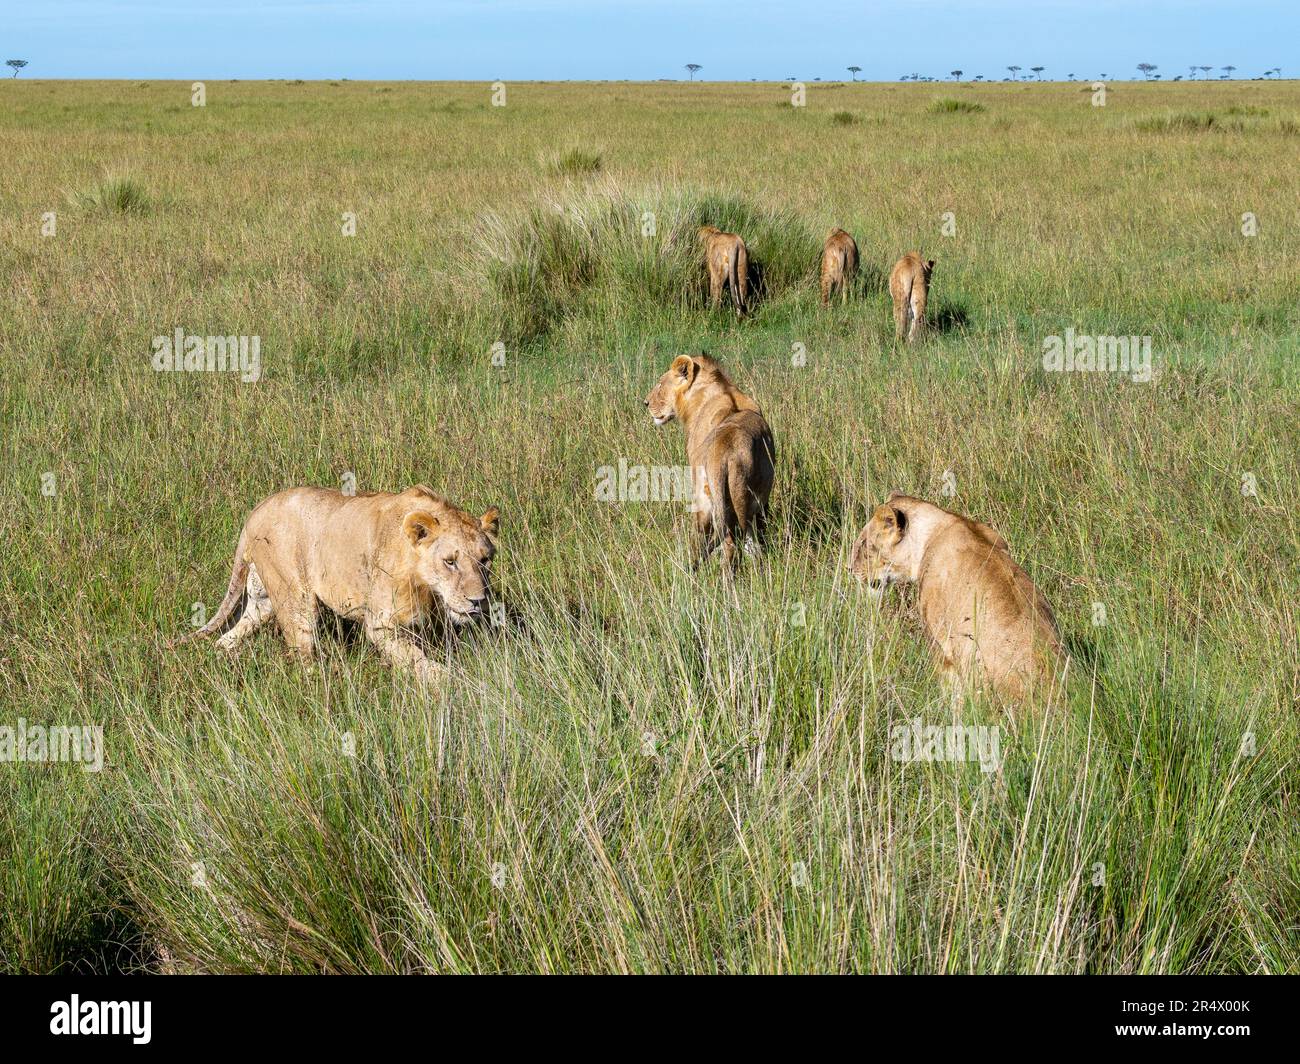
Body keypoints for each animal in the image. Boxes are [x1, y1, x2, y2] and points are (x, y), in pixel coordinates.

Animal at [172, 485, 499, 684]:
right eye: (450, 561)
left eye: (485, 560)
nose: (478, 601)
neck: (426, 585)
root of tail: (256, 511)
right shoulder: (380, 624)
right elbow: (415, 659)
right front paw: (449, 683)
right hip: (295, 596)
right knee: (302, 650)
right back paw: (320, 680)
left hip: (262, 596)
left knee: (235, 630)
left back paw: (220, 653)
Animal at [645, 354, 775, 571]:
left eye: (661, 383)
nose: (645, 403)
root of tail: (727, 450)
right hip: (752, 499)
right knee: (751, 540)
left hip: (706, 499)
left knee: (718, 541)